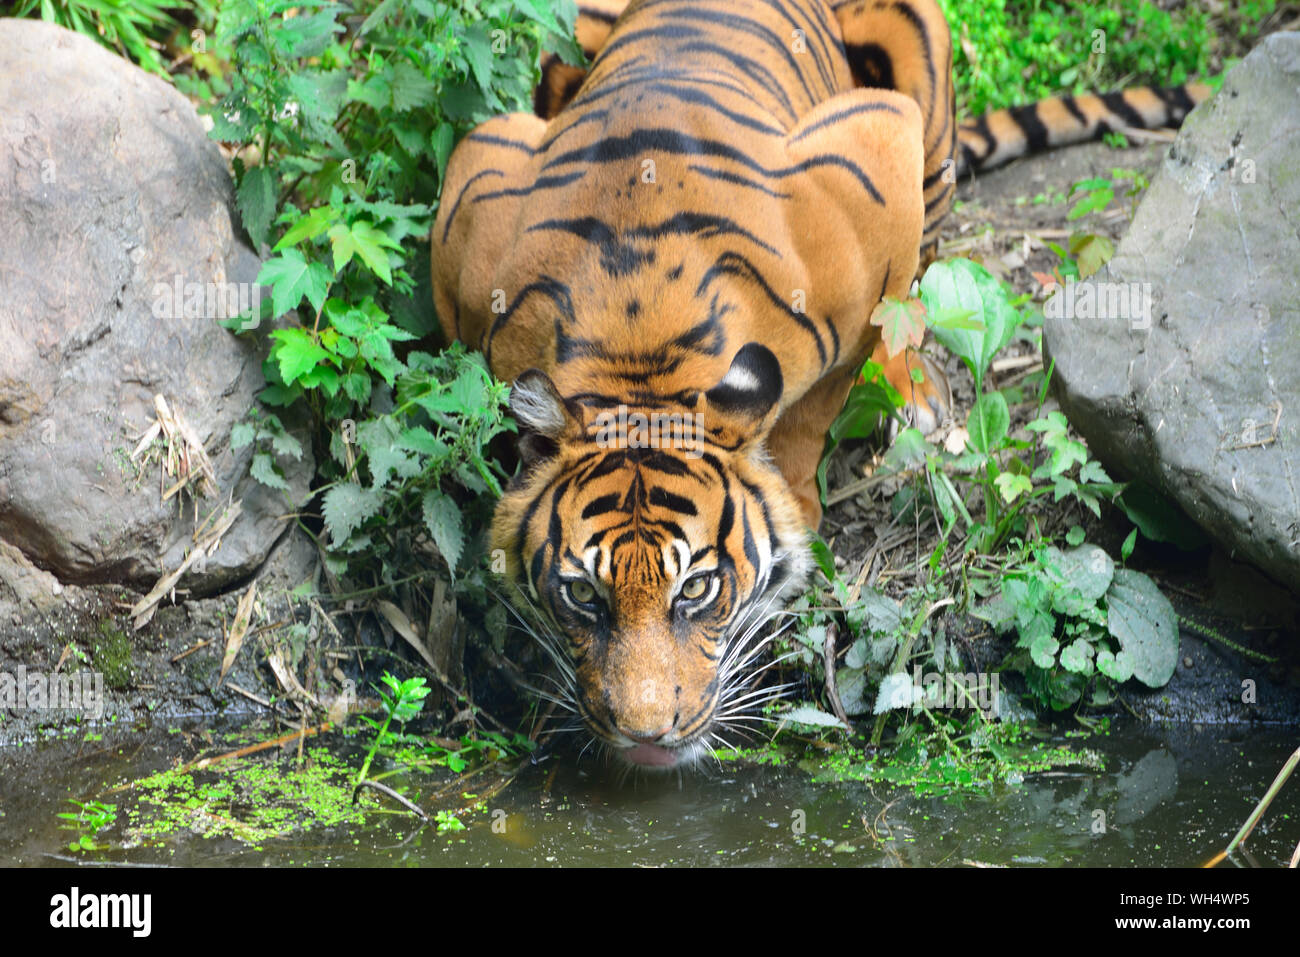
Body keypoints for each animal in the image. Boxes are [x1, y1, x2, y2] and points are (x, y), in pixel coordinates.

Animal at [431, 0, 1210, 769]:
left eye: (697, 588)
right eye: (582, 595)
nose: (646, 734)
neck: (639, 359)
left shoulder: (876, 160)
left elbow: (819, 404)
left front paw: (801, 512)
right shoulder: (474, 185)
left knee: (916, 286)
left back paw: (915, 395)